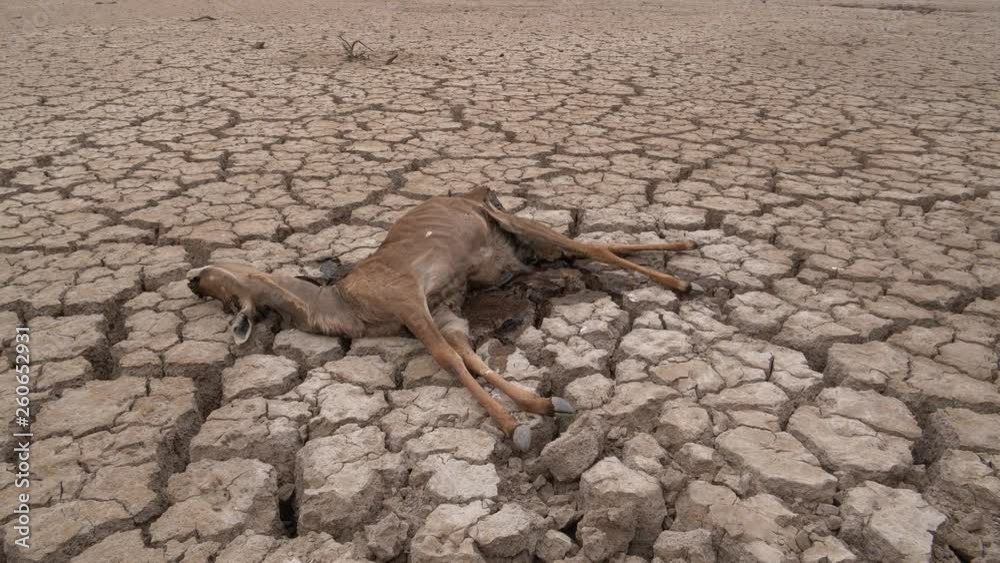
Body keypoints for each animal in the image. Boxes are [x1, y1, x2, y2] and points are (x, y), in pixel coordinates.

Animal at [187, 187, 696, 451]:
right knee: (593, 247)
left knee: (593, 247)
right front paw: (541, 406)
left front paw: (513, 425)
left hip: (519, 227)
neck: (343, 303)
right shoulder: (444, 311)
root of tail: (478, 192)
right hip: (525, 255)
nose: (191, 278)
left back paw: (682, 280)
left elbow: (449, 361)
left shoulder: (411, 302)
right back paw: (686, 249)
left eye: (215, 276)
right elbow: (468, 356)